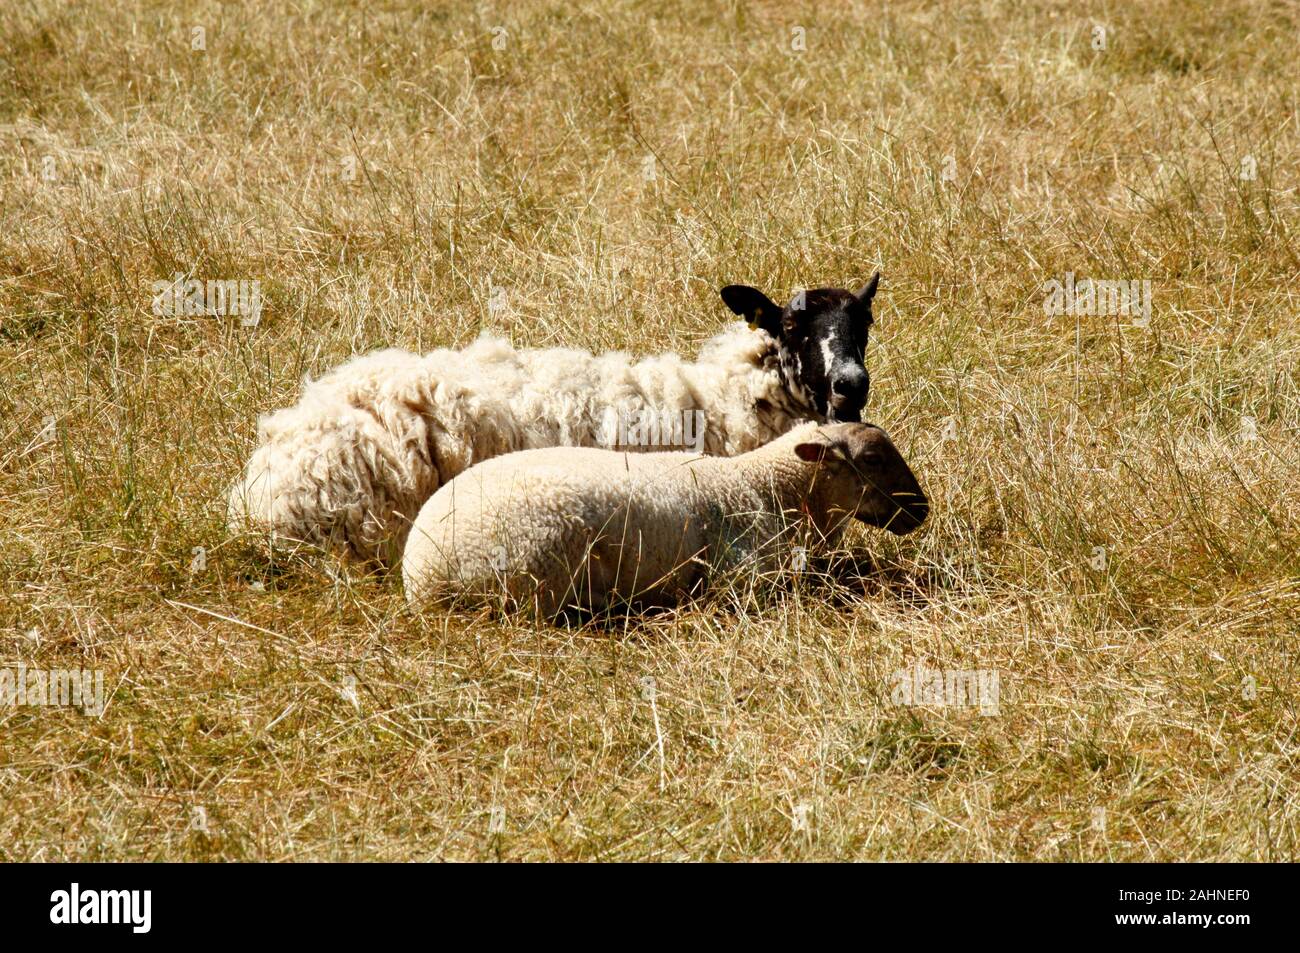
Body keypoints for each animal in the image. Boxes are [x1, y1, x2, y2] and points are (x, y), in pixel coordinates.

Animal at [401, 421, 927, 617]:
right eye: (873, 458)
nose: (922, 510)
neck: (765, 485)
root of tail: (419, 574)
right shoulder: (744, 575)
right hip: (534, 576)